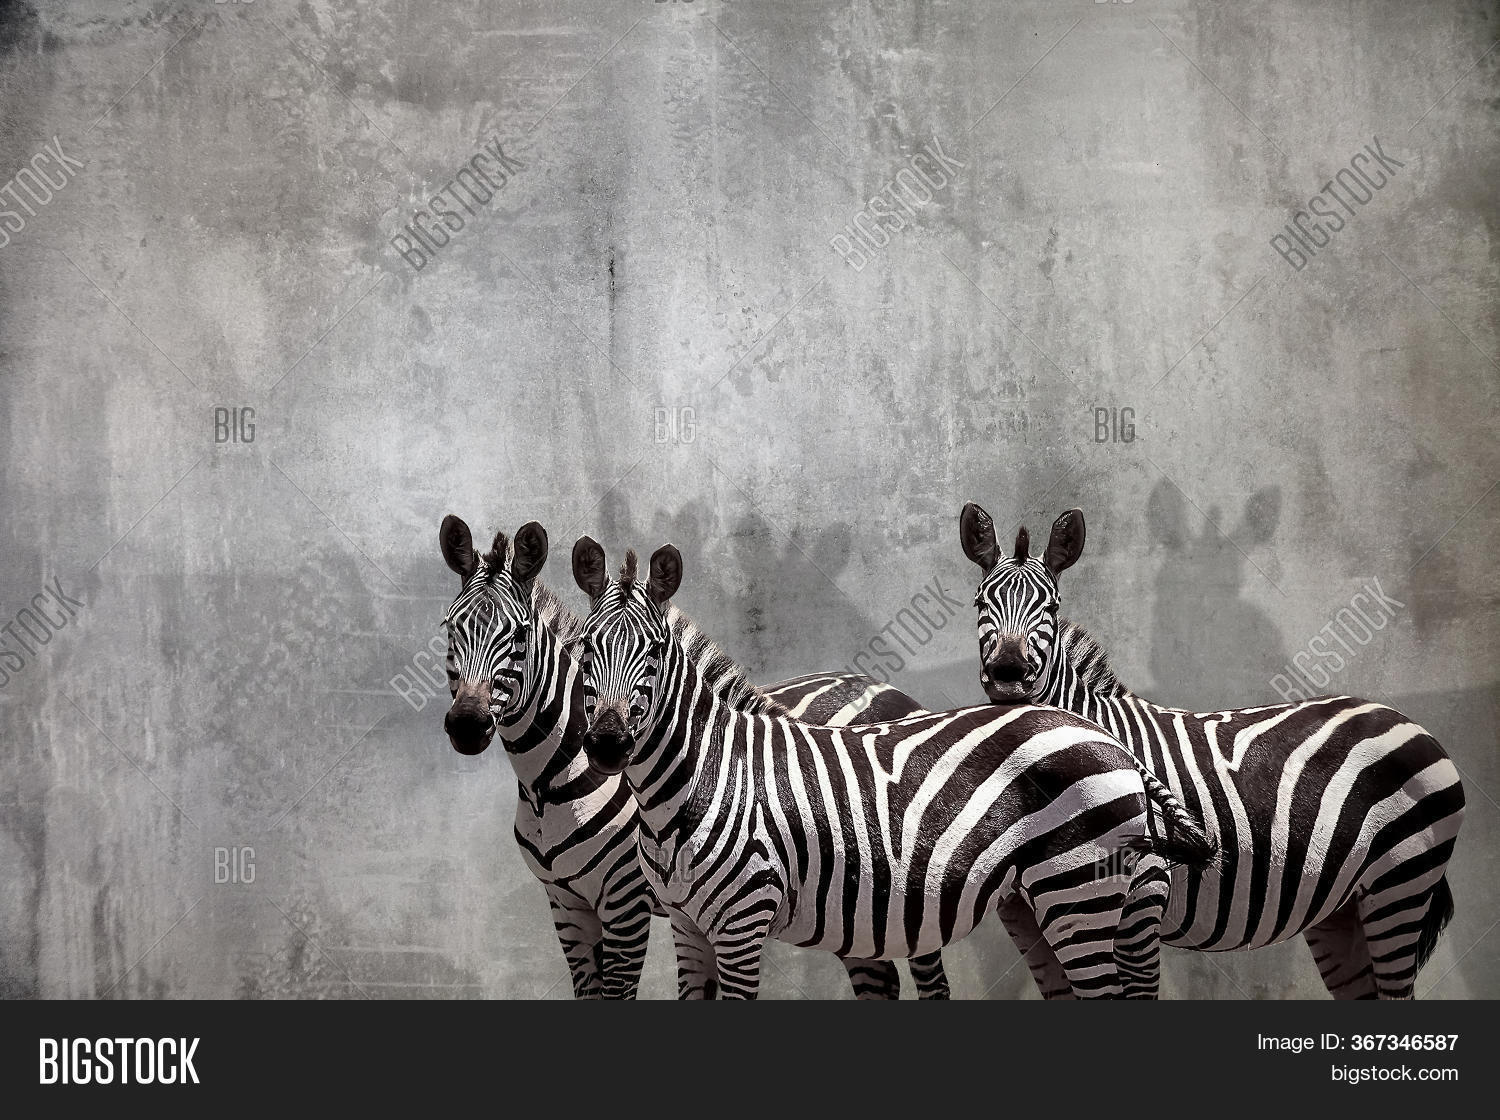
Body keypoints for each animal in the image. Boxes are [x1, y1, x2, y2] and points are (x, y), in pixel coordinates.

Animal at [438, 514, 950, 998]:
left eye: (519, 635)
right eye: (449, 628)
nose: (466, 725)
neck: (547, 785)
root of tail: (883, 687)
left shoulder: (625, 900)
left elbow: (618, 991)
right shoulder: (566, 905)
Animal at [568, 535, 1217, 999]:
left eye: (653, 652)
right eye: (583, 647)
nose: (606, 746)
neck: (695, 782)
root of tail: (1106, 737)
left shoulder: (741, 923)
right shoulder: (687, 929)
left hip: (1079, 890)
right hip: (1043, 899)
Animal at [958, 501, 1465, 999]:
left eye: (1050, 606)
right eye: (981, 601)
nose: (1008, 673)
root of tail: (1400, 717)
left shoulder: (1140, 904)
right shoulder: (1026, 917)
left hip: (1399, 884)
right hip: (1343, 906)